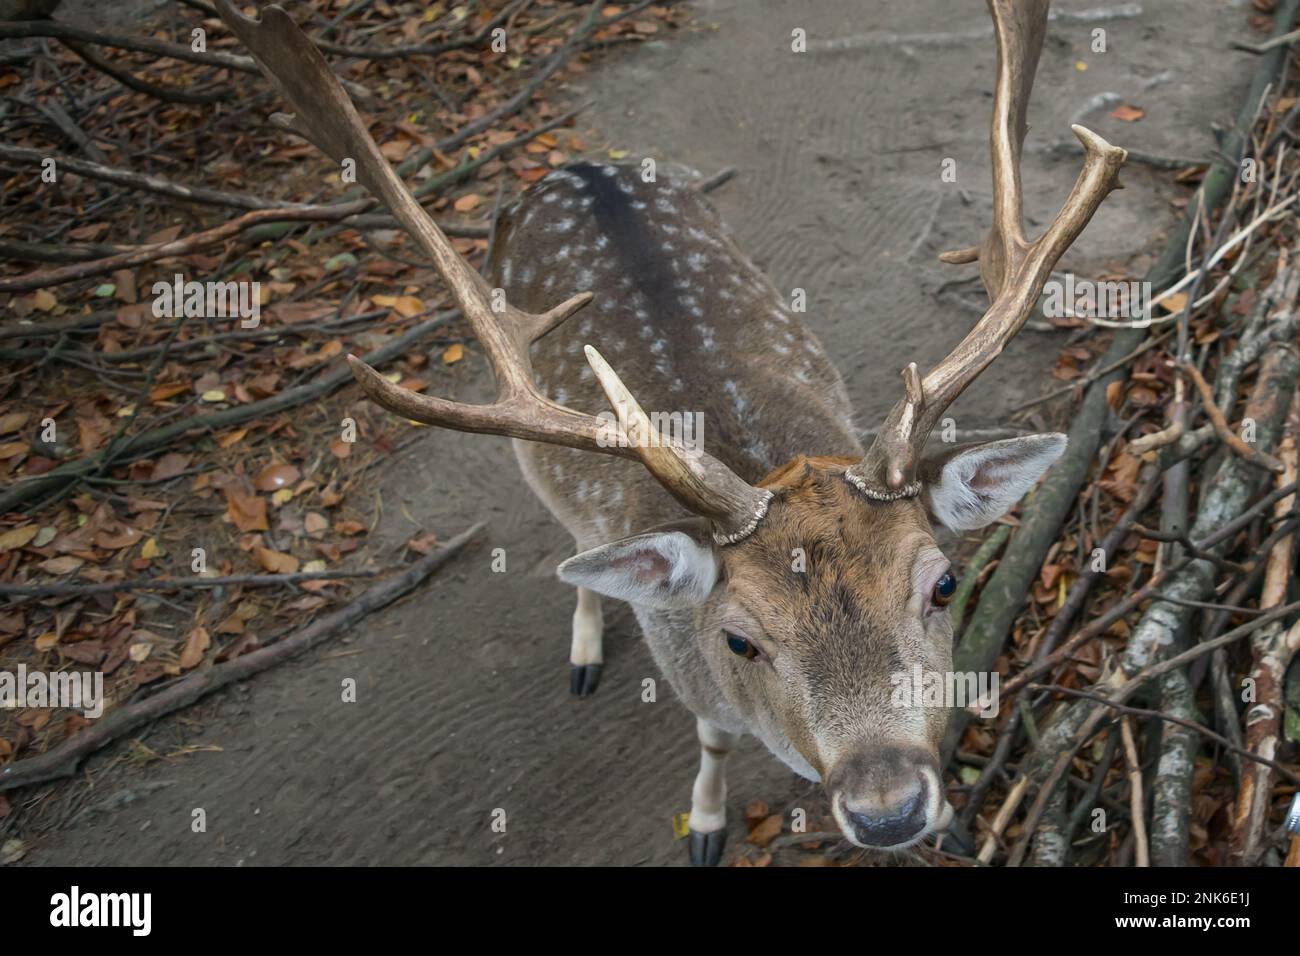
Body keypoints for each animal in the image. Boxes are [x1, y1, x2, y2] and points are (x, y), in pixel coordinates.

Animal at [215, 0, 1125, 865]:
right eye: (737, 638)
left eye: (943, 586)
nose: (888, 809)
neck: (759, 456)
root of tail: (575, 164)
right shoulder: (689, 673)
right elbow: (713, 739)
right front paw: (707, 826)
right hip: (533, 457)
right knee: (572, 542)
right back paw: (584, 650)